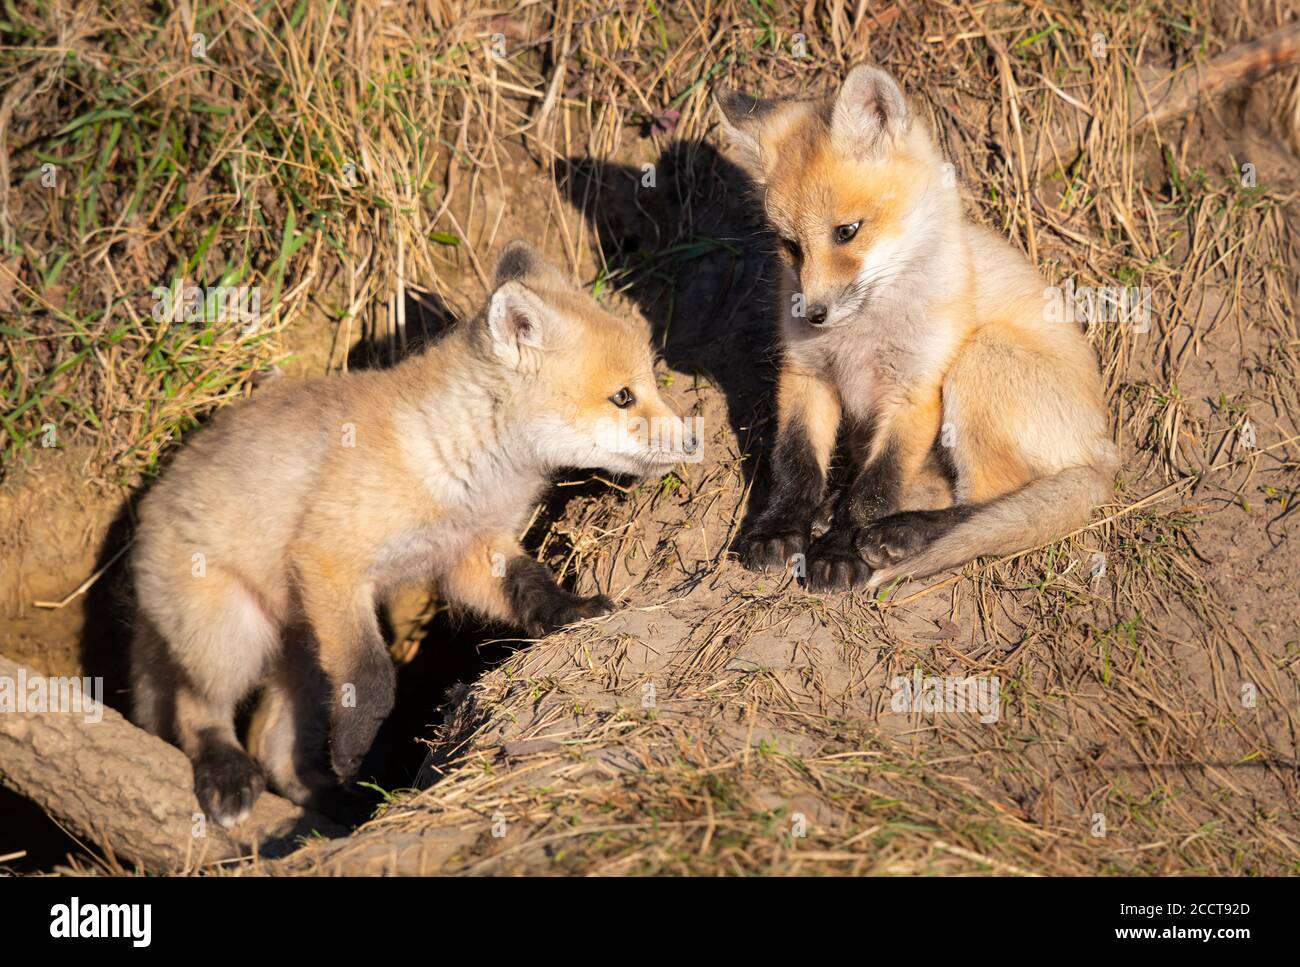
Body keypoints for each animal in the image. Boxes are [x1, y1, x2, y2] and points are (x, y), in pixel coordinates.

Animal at [130, 240, 696, 826]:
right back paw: (227, 774)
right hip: (231, 635)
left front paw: (573, 610)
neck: (464, 466)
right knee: (197, 708)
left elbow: (531, 586)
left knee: (270, 740)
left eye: (647, 385)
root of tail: (152, 501)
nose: (692, 439)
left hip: (302, 652)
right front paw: (356, 753)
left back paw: (331, 808)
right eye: (623, 397)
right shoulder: (331, 561)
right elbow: (374, 677)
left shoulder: (474, 551)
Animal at [716, 65, 1119, 592]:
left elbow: (875, 492)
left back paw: (903, 533)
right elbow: (795, 464)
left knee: (986, 501)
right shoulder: (807, 375)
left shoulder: (914, 393)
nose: (813, 315)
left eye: (847, 231)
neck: (862, 334)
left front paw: (842, 552)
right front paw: (780, 529)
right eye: (790, 245)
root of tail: (1104, 452)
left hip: (979, 361)